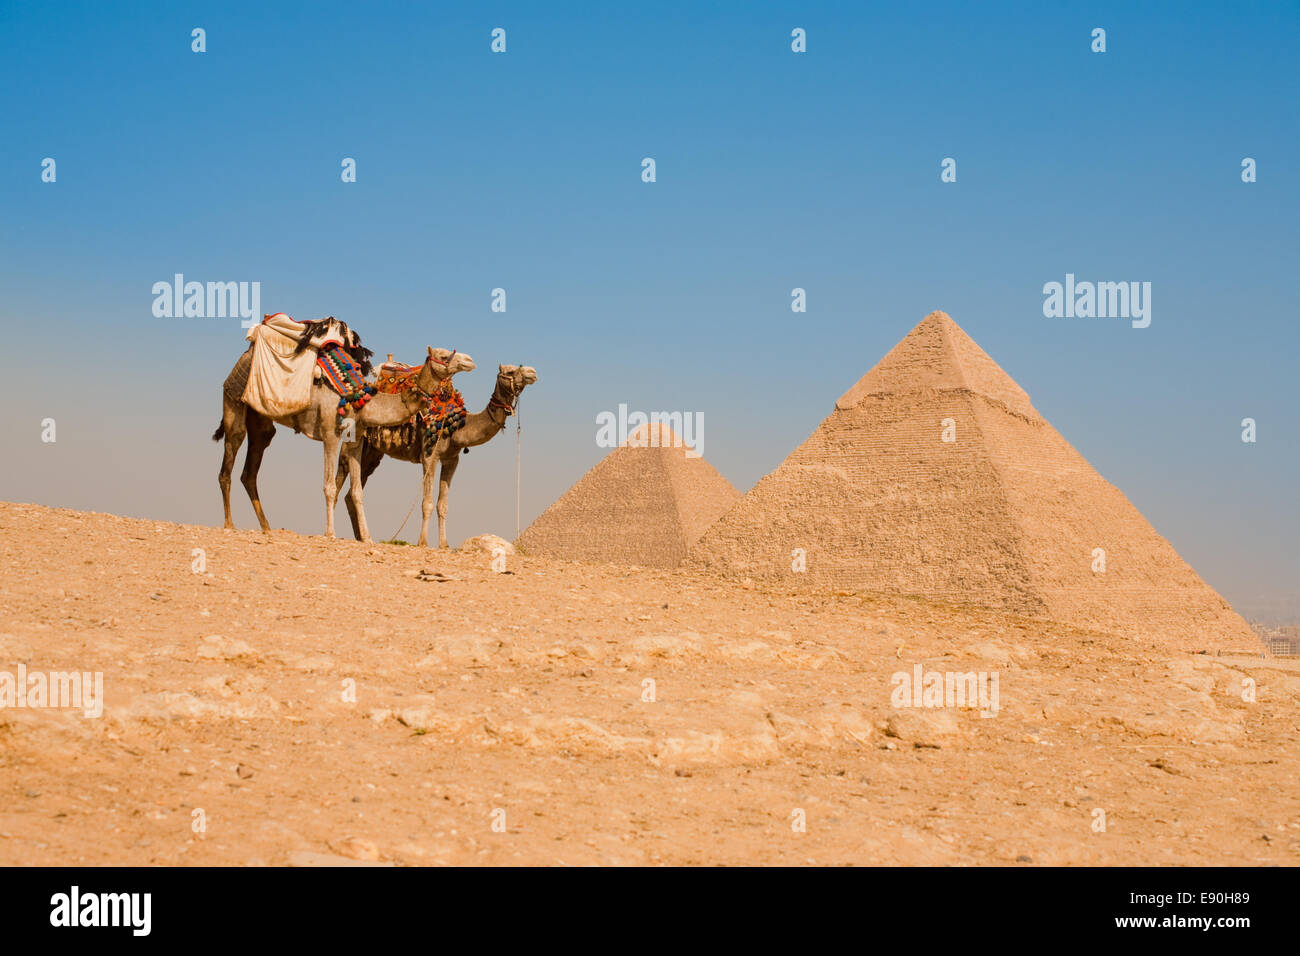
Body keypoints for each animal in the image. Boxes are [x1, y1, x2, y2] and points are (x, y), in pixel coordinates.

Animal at [214, 339, 476, 540]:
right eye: (443, 355)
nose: (470, 360)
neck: (361, 399)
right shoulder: (330, 432)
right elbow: (329, 486)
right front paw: (330, 533)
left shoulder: (356, 439)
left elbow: (357, 491)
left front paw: (367, 537)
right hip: (234, 400)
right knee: (229, 456)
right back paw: (229, 524)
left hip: (260, 420)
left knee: (251, 467)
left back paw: (267, 527)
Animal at [339, 364, 538, 548]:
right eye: (511, 371)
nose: (532, 373)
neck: (456, 425)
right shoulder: (429, 454)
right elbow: (427, 502)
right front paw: (423, 542)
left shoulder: (452, 459)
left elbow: (443, 505)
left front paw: (444, 544)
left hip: (373, 452)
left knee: (350, 490)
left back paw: (360, 537)